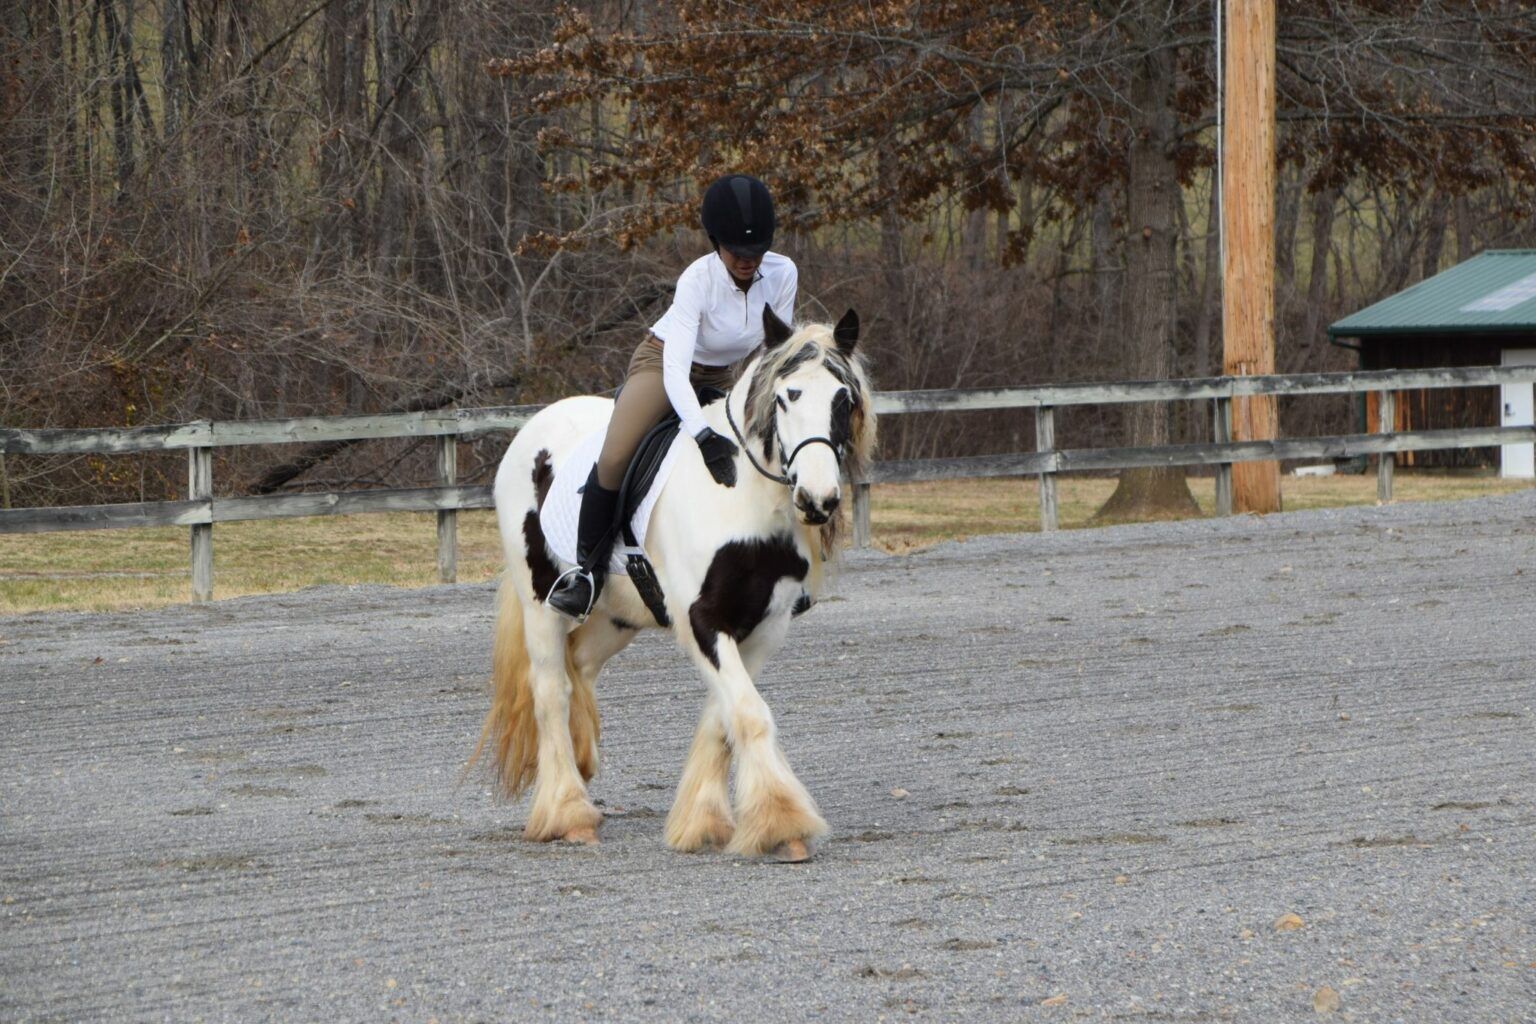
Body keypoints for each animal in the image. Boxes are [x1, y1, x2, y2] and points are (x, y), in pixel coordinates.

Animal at [474, 307, 876, 861]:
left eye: (844, 399)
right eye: (786, 396)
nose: (819, 500)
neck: (740, 495)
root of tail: (532, 426)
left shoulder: (764, 626)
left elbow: (725, 718)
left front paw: (703, 822)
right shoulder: (703, 621)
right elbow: (748, 713)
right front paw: (781, 824)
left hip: (618, 615)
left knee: (581, 665)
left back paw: (582, 762)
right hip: (542, 603)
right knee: (551, 690)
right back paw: (567, 813)